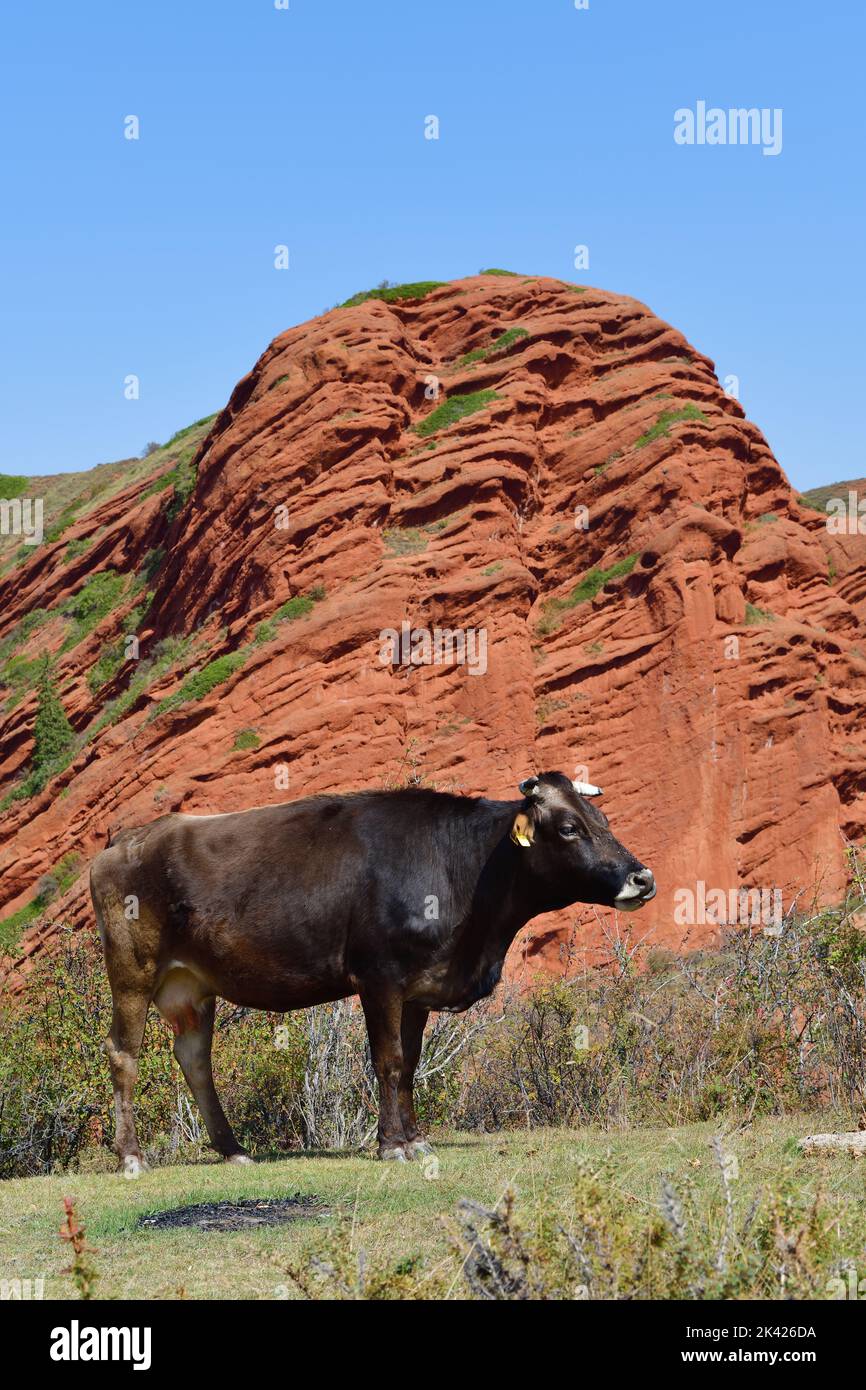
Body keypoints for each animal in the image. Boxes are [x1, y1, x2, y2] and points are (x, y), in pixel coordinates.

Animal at [90, 770, 655, 1170]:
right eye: (569, 828)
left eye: (604, 821)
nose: (642, 878)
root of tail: (126, 838)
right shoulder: (380, 977)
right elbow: (387, 1059)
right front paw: (391, 1146)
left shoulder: (421, 988)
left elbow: (410, 1064)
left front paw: (417, 1139)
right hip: (132, 969)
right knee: (123, 1053)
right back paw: (132, 1157)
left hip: (192, 984)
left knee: (194, 1058)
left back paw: (234, 1150)